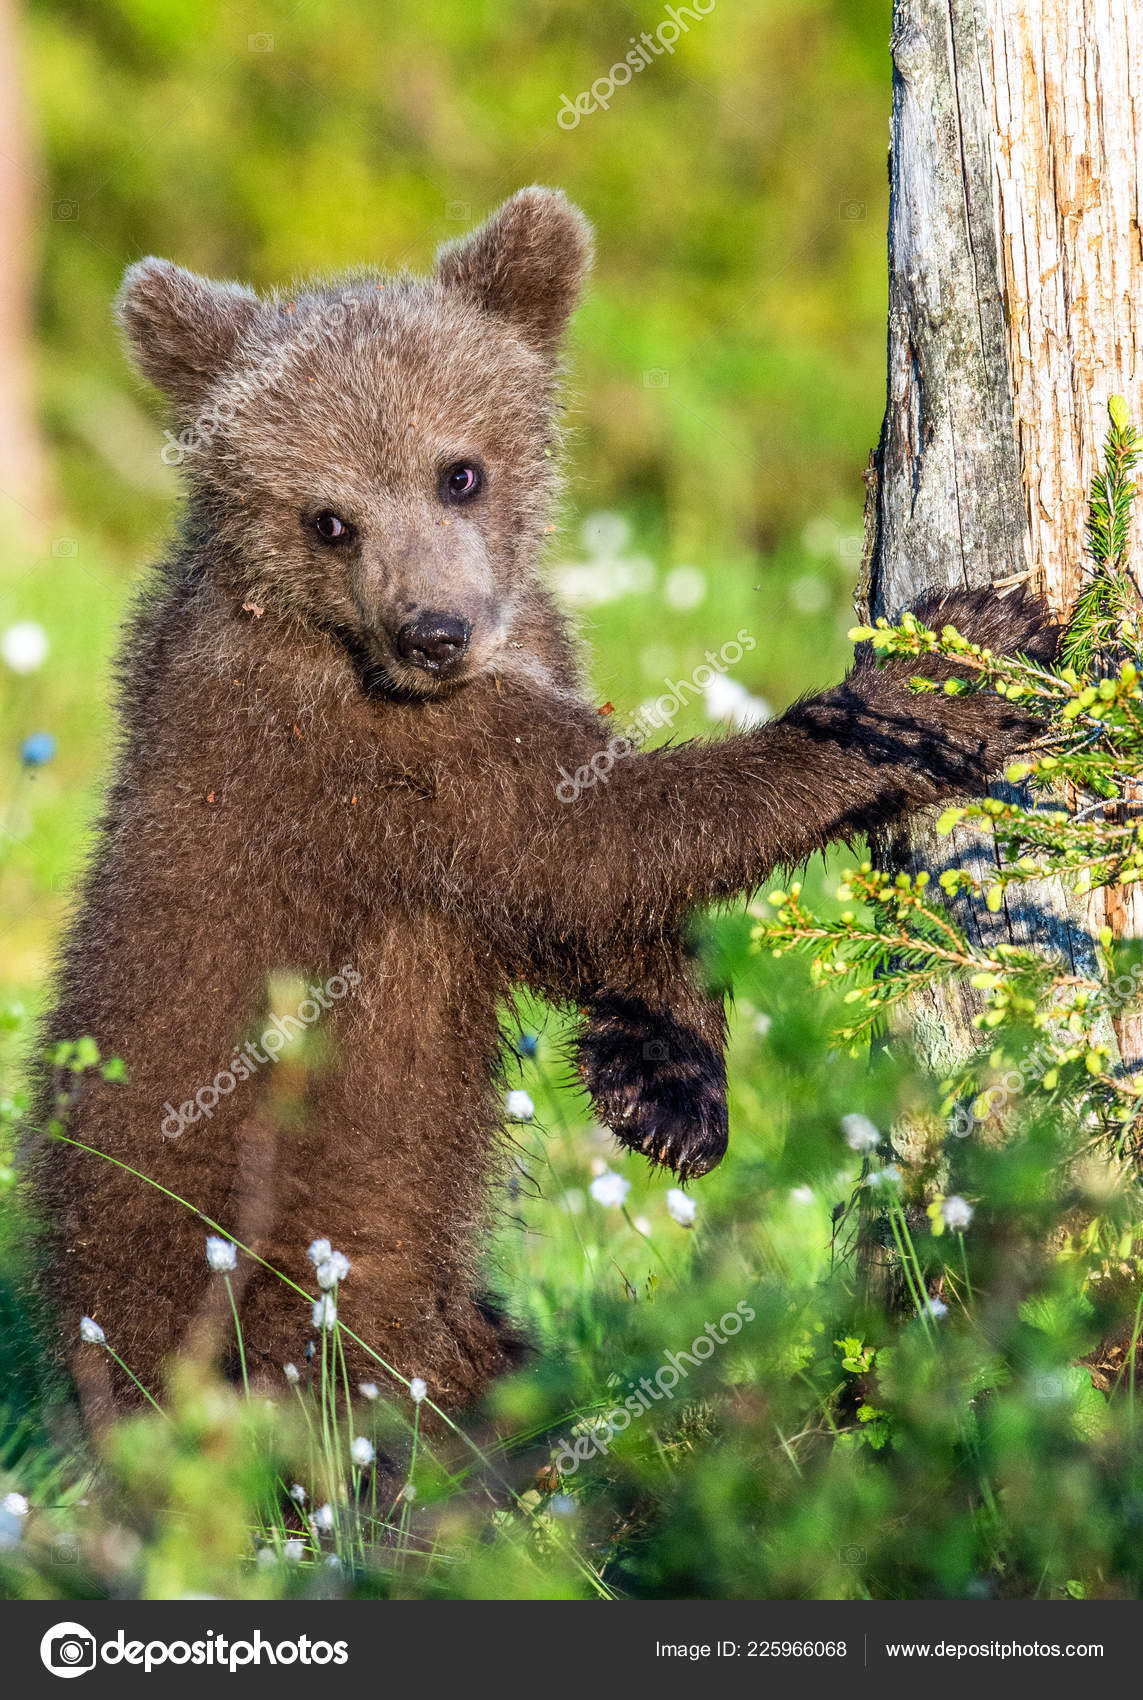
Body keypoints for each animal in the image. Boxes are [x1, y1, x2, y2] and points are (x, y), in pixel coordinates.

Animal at [25, 187, 1056, 1428]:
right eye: (329, 517)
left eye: (458, 471)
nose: (433, 630)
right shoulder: (375, 761)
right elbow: (598, 837)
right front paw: (948, 670)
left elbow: (581, 900)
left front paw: (663, 1081)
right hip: (285, 1304)